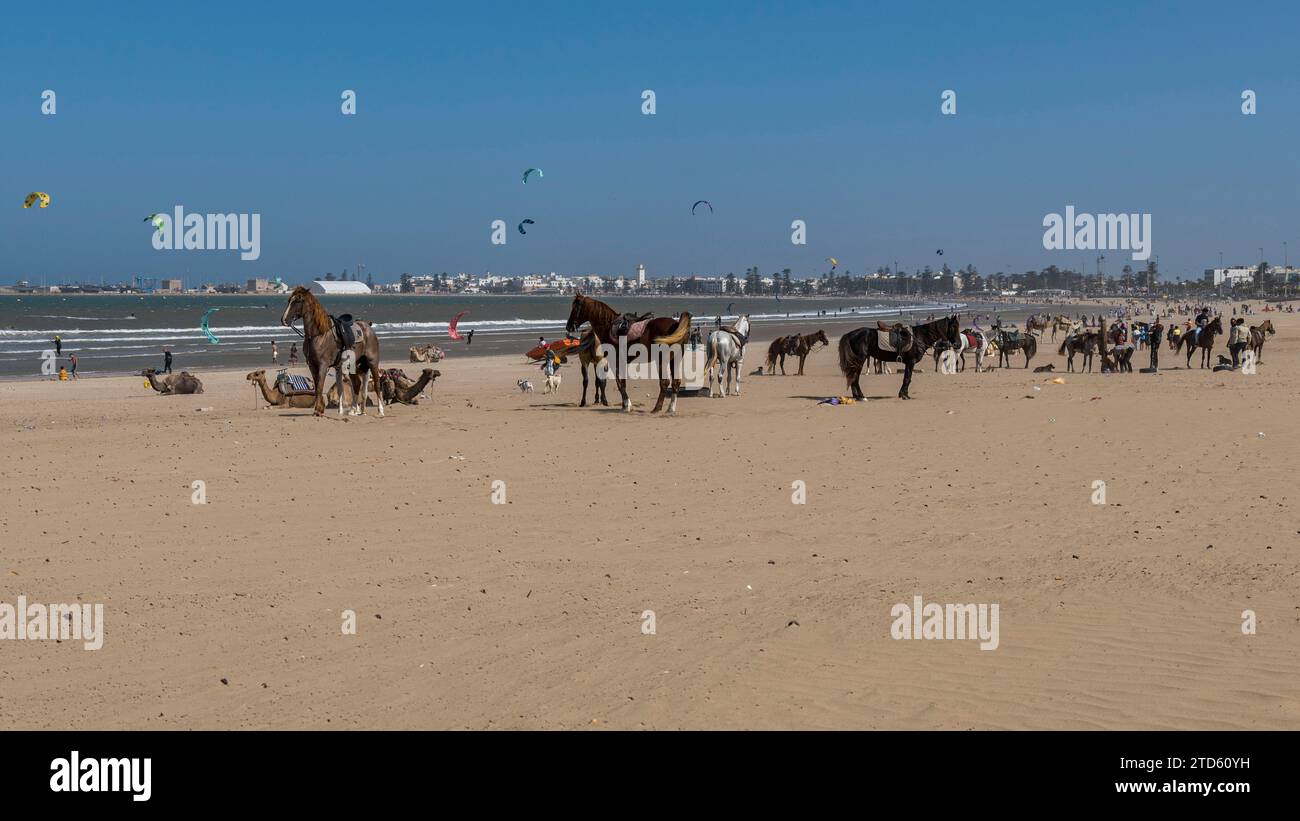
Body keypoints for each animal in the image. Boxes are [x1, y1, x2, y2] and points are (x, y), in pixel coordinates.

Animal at [280, 286, 384, 417]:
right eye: (289, 300)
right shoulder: (312, 365)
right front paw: (319, 409)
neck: (319, 335)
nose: (284, 320)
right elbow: (317, 387)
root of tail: (369, 328)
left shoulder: (323, 365)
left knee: (377, 384)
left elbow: (320, 386)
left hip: (372, 362)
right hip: (354, 365)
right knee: (356, 384)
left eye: (298, 301)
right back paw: (353, 410)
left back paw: (380, 410)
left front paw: (318, 410)